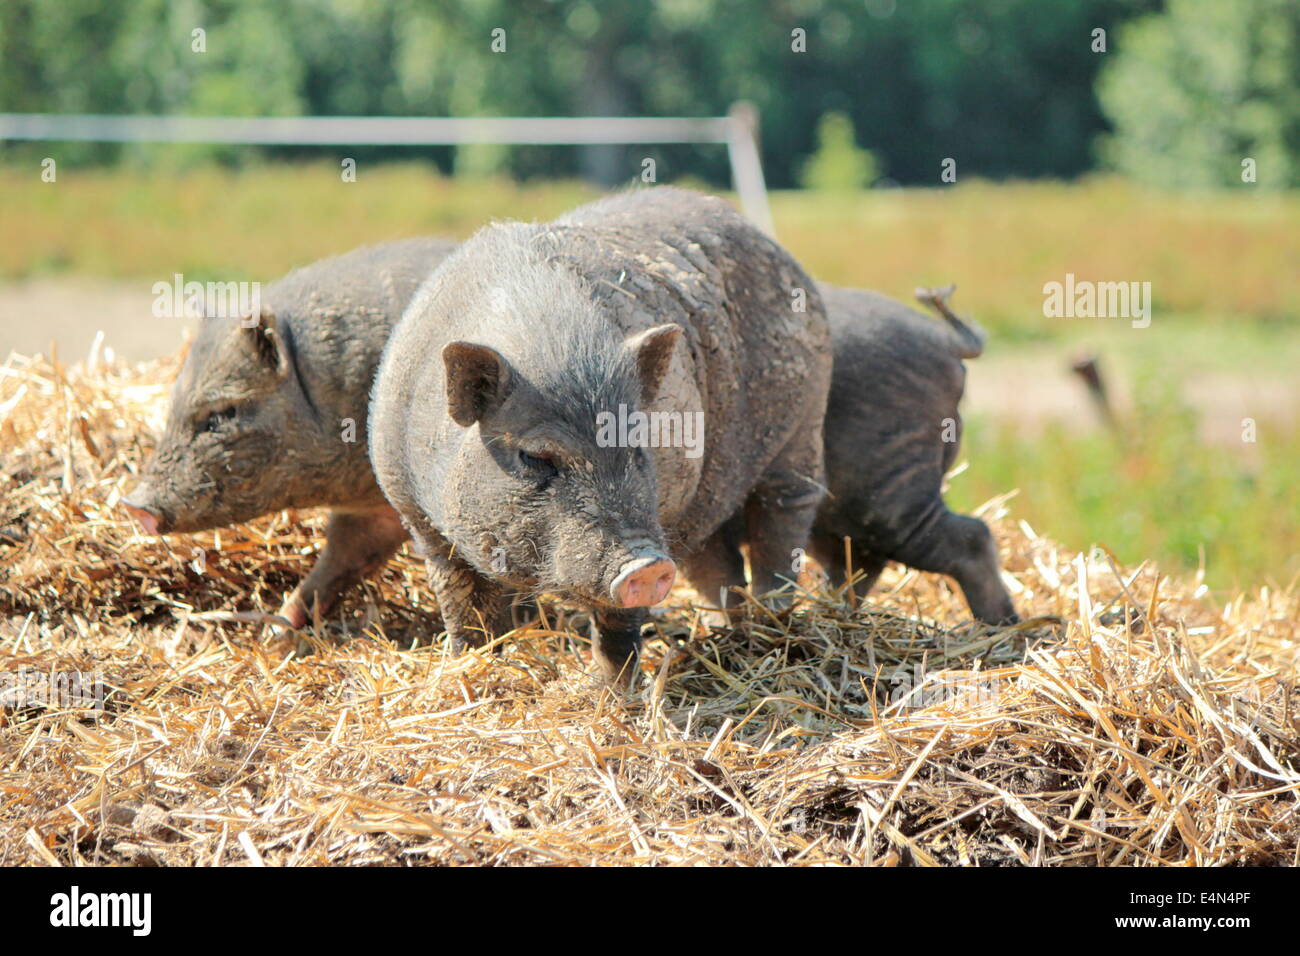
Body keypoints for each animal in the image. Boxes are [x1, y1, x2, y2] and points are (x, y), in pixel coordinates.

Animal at [122, 236, 456, 628]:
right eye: (172, 403)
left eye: (223, 414)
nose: (133, 505)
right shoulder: (371, 509)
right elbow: (345, 557)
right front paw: (279, 628)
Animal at [368, 187, 831, 683]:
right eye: (536, 457)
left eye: (637, 448)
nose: (644, 565)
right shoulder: (418, 519)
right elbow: (465, 610)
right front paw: (471, 667)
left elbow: (618, 627)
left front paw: (616, 691)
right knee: (716, 559)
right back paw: (730, 626)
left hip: (803, 426)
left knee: (785, 514)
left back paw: (772, 619)